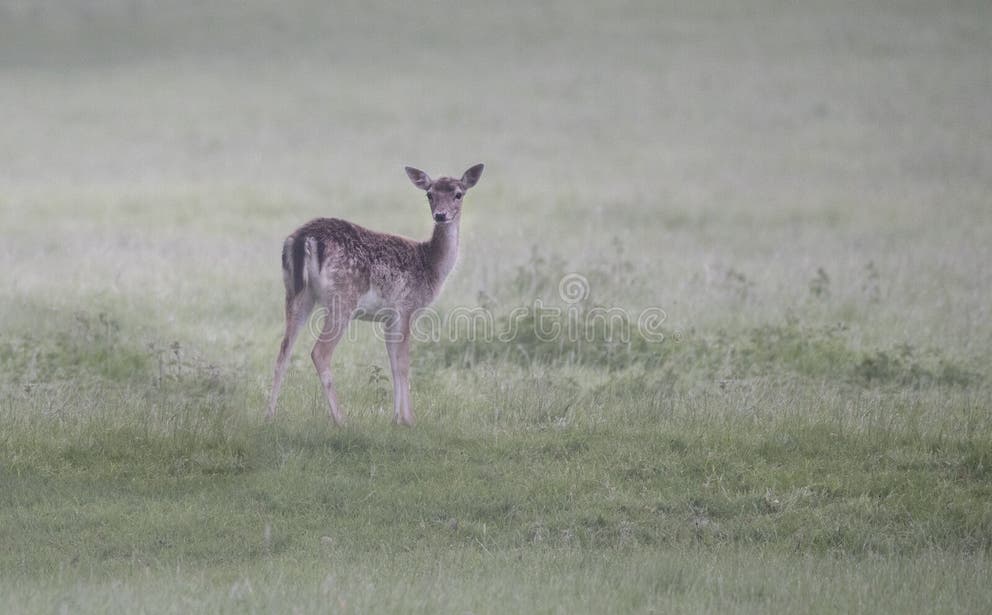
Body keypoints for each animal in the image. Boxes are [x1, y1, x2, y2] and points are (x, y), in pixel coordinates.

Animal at [266, 164, 484, 426]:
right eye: (429, 194)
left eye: (458, 194)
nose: (441, 215)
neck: (432, 266)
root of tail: (304, 239)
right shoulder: (406, 308)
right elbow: (403, 364)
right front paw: (409, 420)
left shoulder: (388, 318)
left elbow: (392, 363)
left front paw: (396, 419)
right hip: (342, 297)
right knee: (319, 352)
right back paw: (342, 420)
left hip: (295, 292)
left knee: (283, 350)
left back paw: (268, 415)